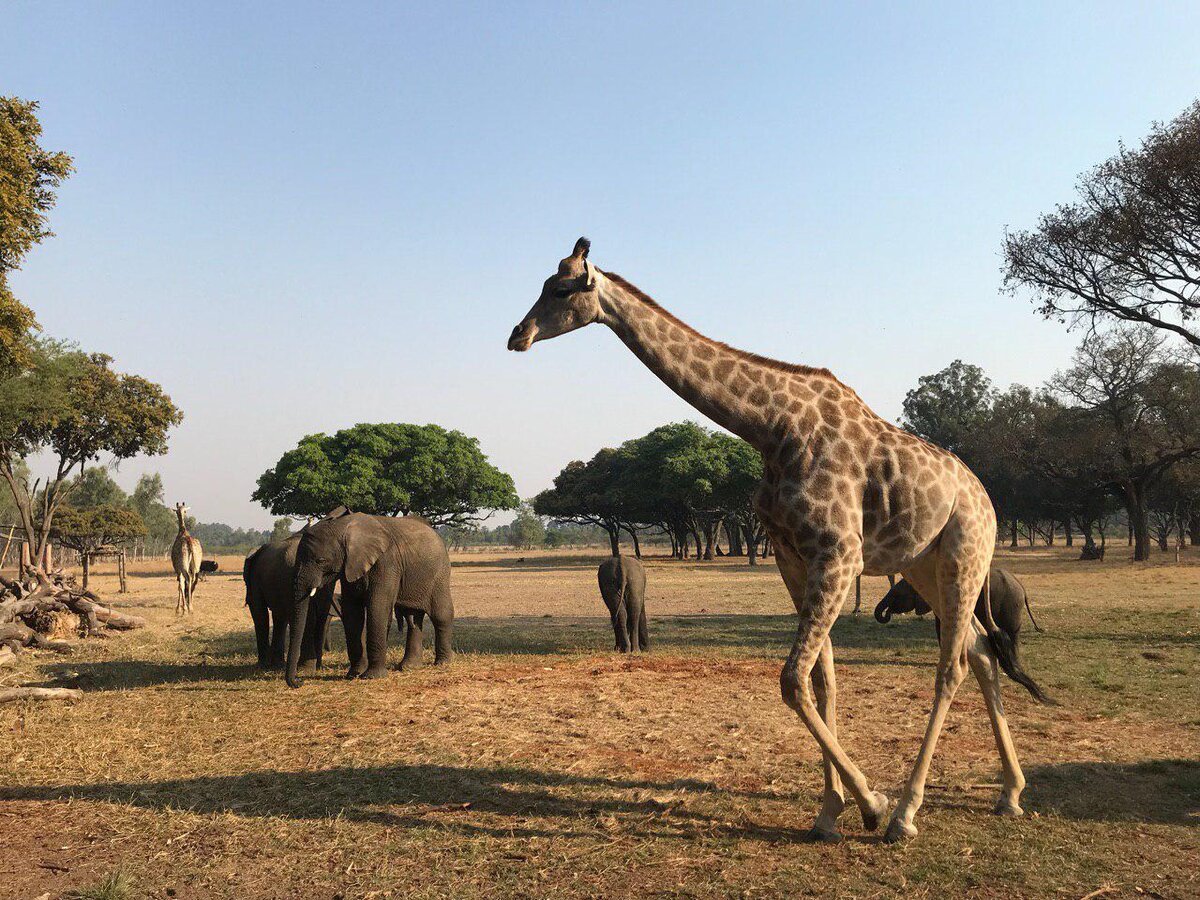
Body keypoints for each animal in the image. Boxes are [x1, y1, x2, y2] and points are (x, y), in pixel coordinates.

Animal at [288, 511, 451, 686]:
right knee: (412, 618)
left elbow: (377, 608)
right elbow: (352, 612)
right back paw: (409, 667)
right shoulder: (350, 567)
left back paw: (442, 663)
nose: (299, 681)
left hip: (439, 573)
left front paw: (372, 676)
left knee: (440, 615)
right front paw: (354, 674)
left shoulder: (386, 563)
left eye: (321, 561)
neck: (343, 526)